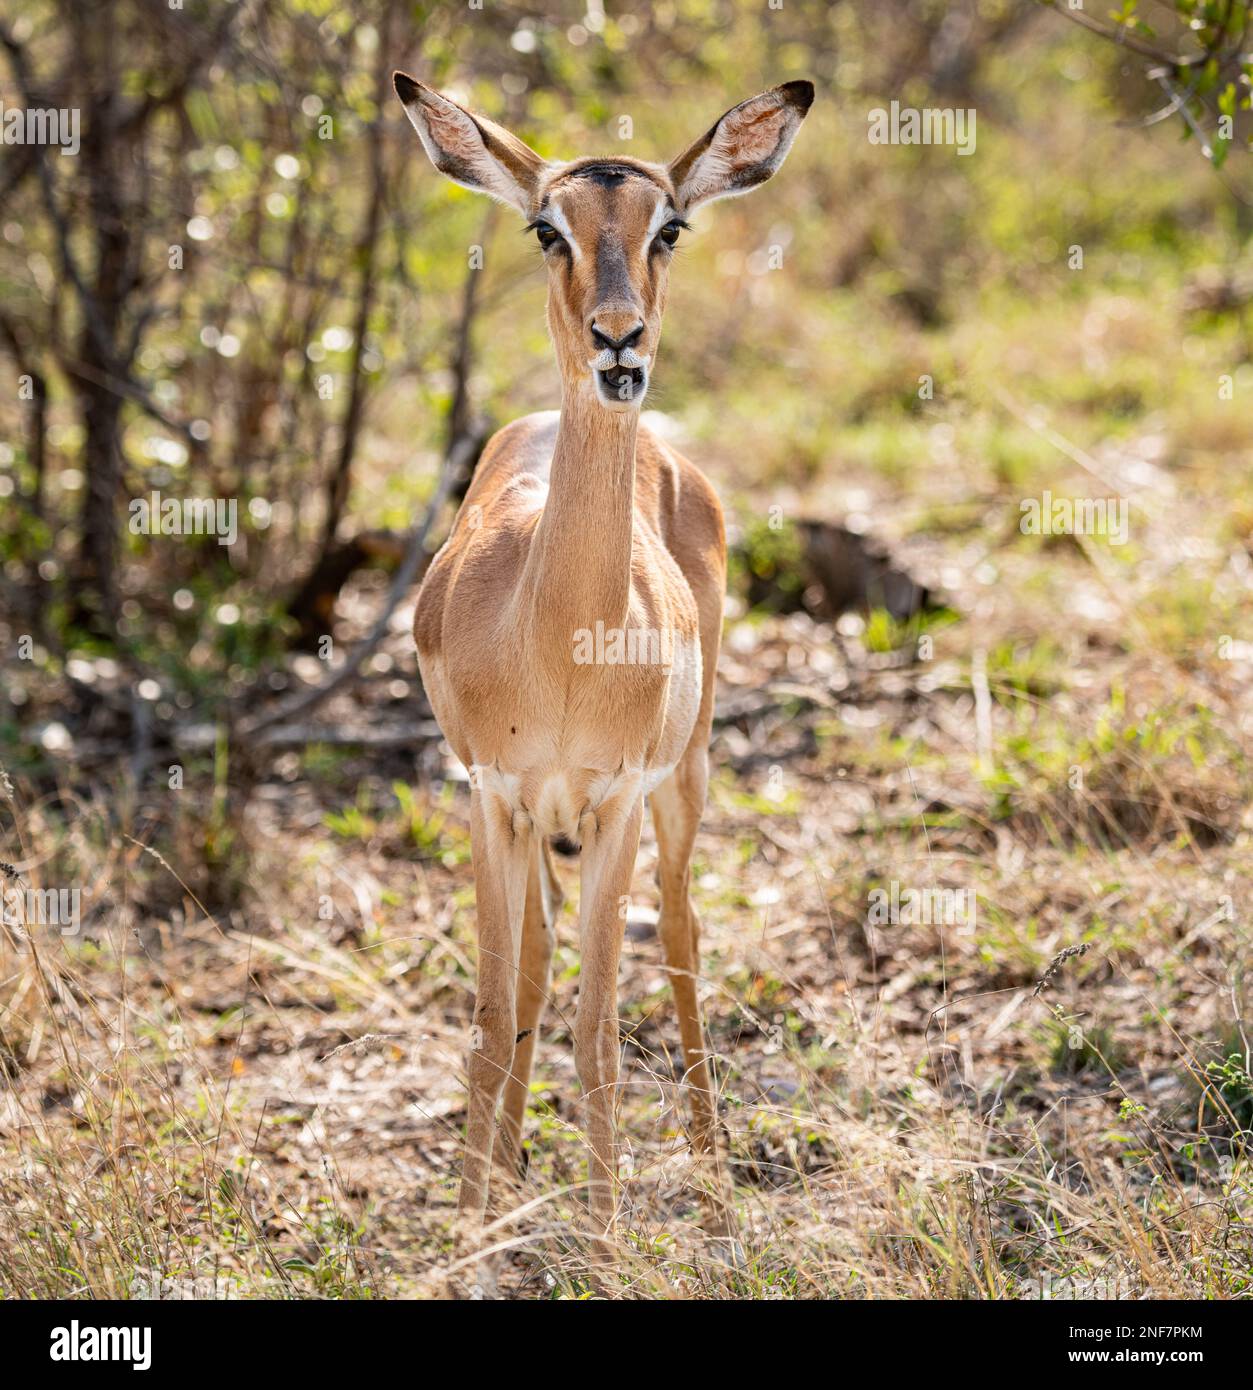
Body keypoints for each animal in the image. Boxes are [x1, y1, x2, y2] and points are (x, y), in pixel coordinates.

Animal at [394, 71, 813, 1249]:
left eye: (668, 226)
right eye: (548, 228)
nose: (616, 341)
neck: (561, 647)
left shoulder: (618, 800)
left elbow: (596, 1029)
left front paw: (603, 1234)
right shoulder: (494, 797)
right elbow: (496, 1012)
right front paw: (472, 1231)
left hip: (685, 780)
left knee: (679, 934)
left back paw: (713, 1190)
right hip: (545, 828)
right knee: (537, 977)